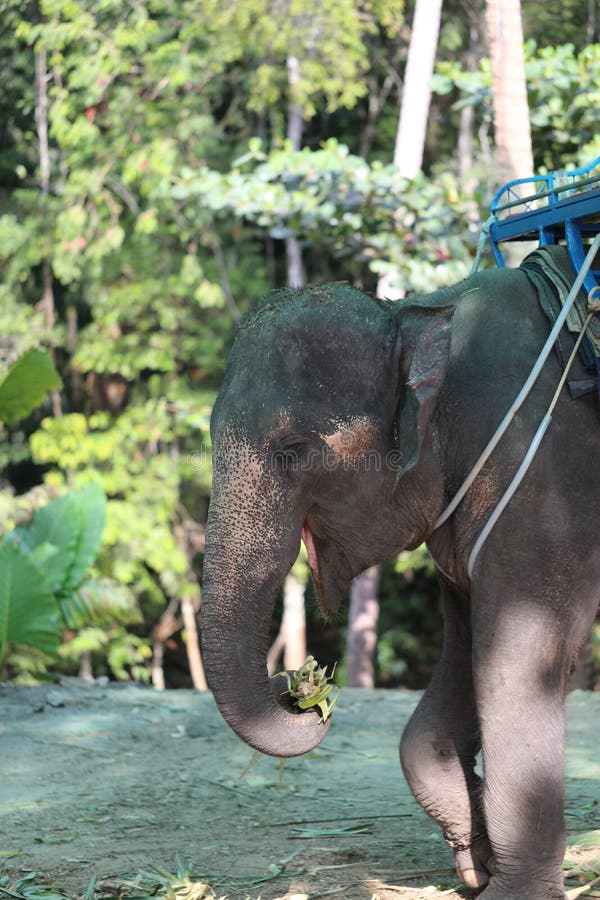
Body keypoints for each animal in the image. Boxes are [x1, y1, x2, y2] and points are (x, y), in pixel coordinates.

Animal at [200, 274, 600, 900]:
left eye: (293, 450)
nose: (301, 689)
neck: (423, 314)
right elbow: (463, 656)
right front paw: (476, 861)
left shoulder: (548, 483)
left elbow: (515, 662)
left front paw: (509, 890)